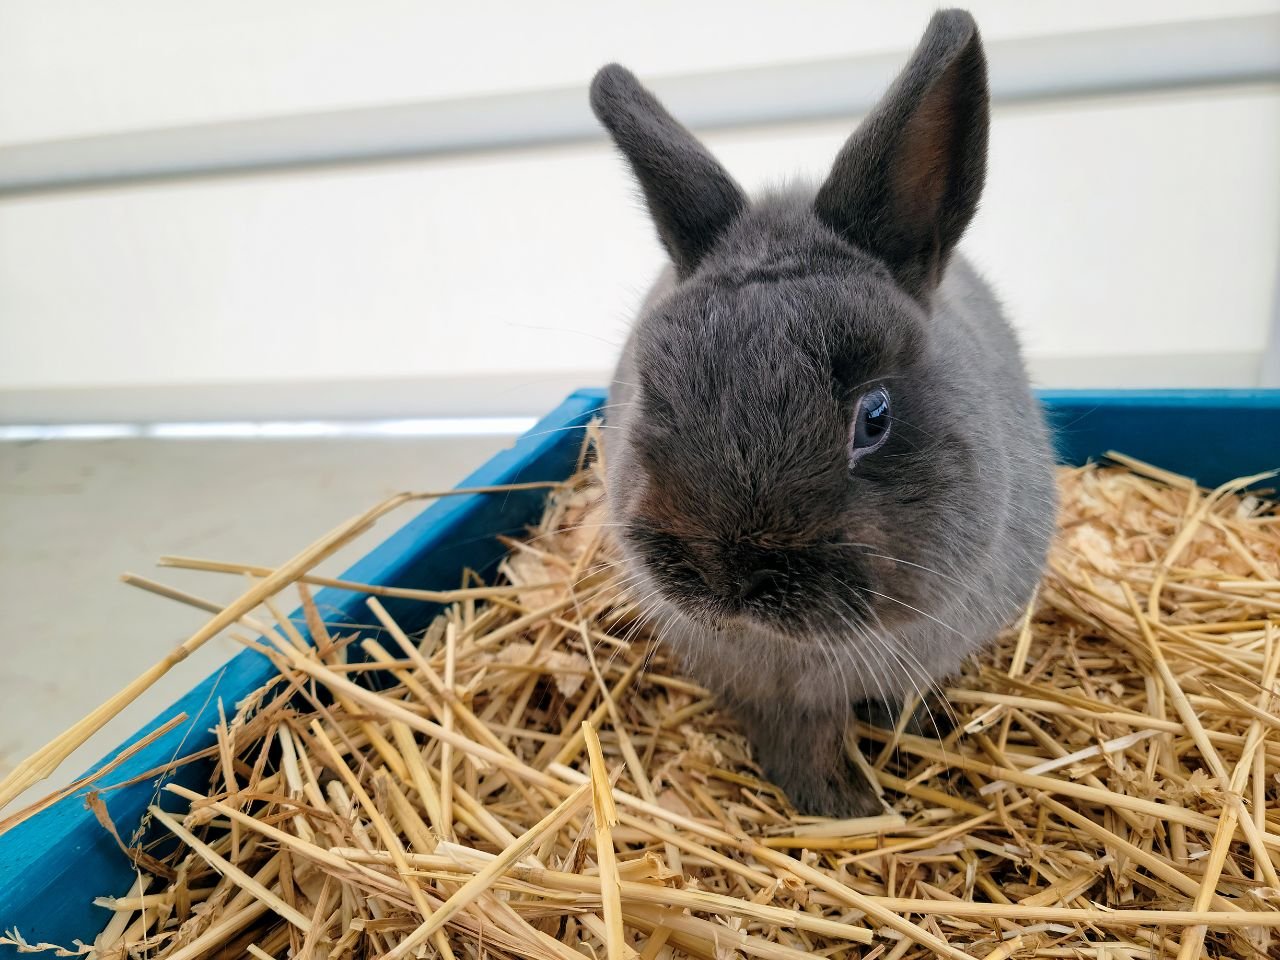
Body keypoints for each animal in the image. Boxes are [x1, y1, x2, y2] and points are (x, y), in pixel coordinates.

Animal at [589, 8, 1057, 818]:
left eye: (874, 416)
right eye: (654, 388)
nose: (729, 574)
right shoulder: (767, 694)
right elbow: (799, 747)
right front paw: (841, 810)